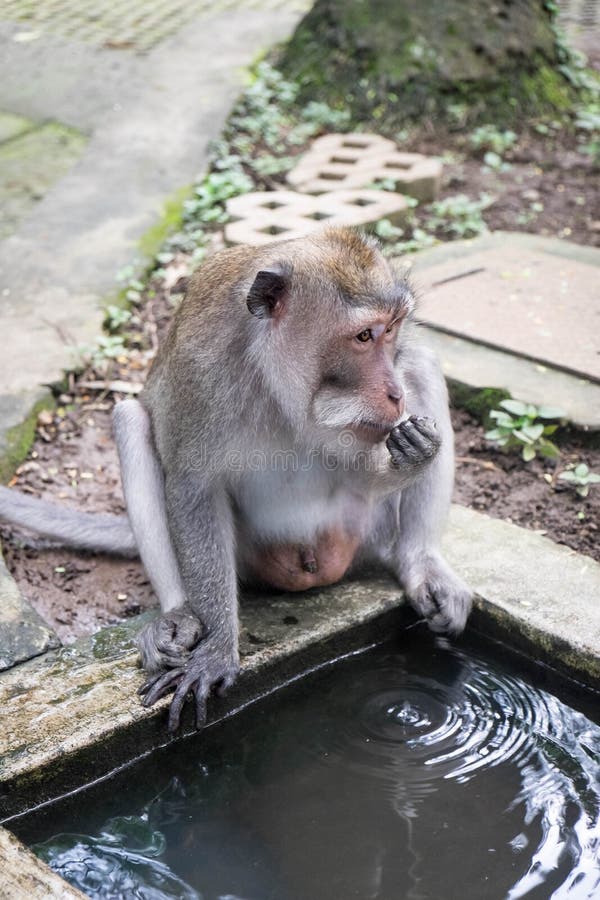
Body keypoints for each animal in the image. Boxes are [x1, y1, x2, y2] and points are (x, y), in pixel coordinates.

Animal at [0, 227, 472, 732]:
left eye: (394, 328)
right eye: (365, 336)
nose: (394, 393)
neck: (274, 380)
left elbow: (368, 463)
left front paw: (414, 453)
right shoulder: (202, 377)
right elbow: (193, 488)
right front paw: (220, 646)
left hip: (367, 533)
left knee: (422, 364)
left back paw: (420, 562)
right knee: (130, 419)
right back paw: (177, 615)